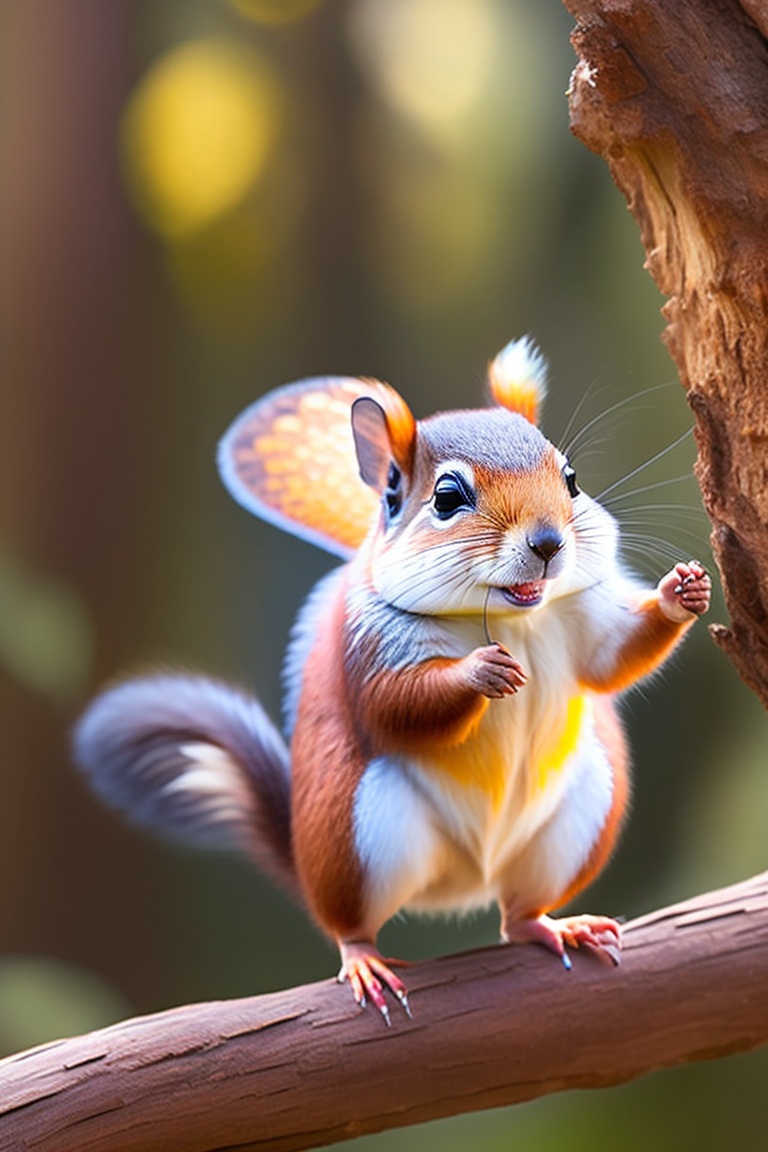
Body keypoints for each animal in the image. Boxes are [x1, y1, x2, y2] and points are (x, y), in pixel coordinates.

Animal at [73, 337, 711, 1024]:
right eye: (448, 498)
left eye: (571, 479)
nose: (548, 542)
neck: (510, 617)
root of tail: (464, 885)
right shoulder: (371, 644)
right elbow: (396, 706)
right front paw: (480, 670)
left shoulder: (583, 617)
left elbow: (613, 657)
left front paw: (681, 593)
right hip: (358, 836)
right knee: (351, 922)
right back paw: (365, 960)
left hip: (578, 821)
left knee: (517, 916)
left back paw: (554, 925)